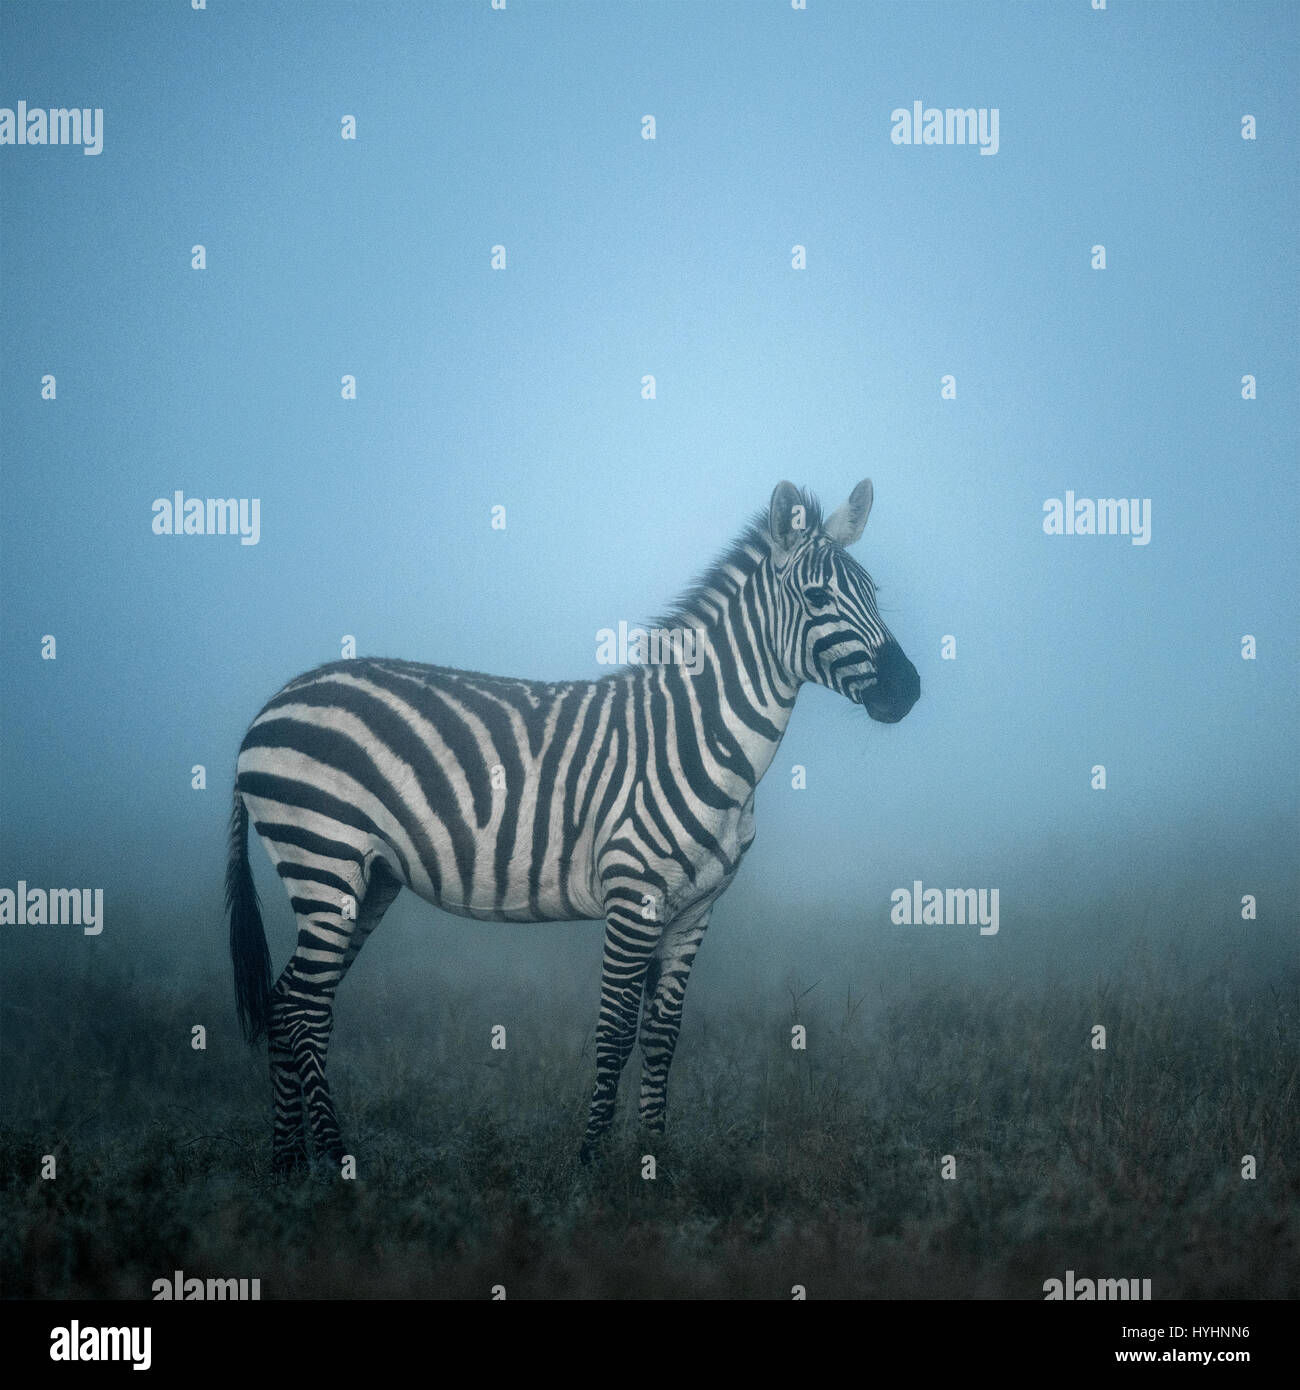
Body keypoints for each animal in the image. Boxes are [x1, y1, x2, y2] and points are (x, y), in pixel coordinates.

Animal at [227, 479, 919, 1171]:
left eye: (874, 593)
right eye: (818, 598)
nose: (908, 690)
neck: (700, 741)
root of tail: (271, 705)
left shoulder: (695, 911)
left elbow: (663, 1036)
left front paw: (655, 1156)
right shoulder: (632, 898)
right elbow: (614, 1032)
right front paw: (590, 1159)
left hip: (368, 881)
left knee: (287, 1002)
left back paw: (289, 1162)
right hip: (324, 857)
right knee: (305, 1008)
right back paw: (337, 1159)